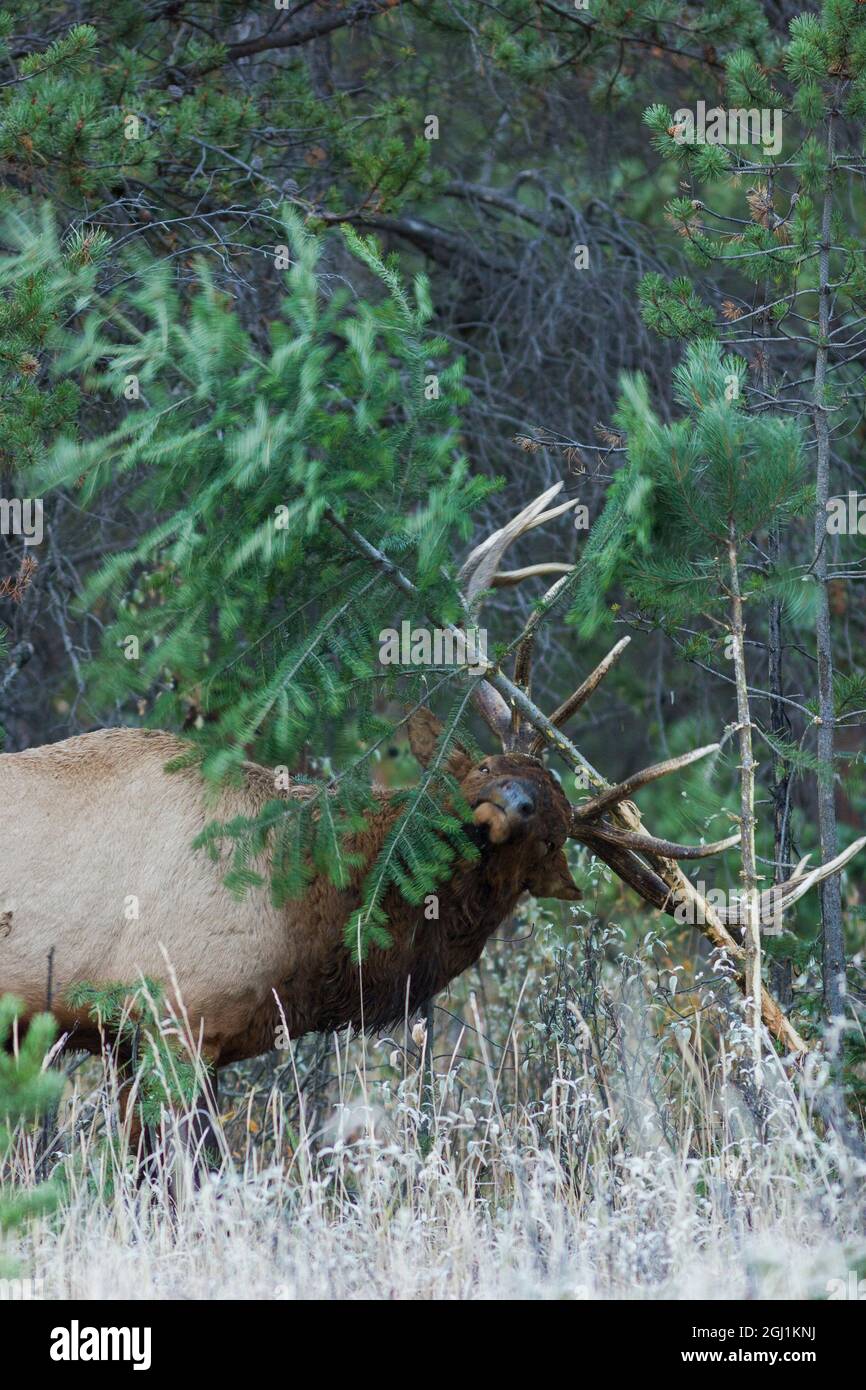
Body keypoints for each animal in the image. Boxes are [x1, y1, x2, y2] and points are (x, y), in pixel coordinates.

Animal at [1, 485, 862, 1104]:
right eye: (481, 768)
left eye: (554, 831)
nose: (512, 807)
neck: (304, 927)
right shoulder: (171, 1016)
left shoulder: (155, 1038)